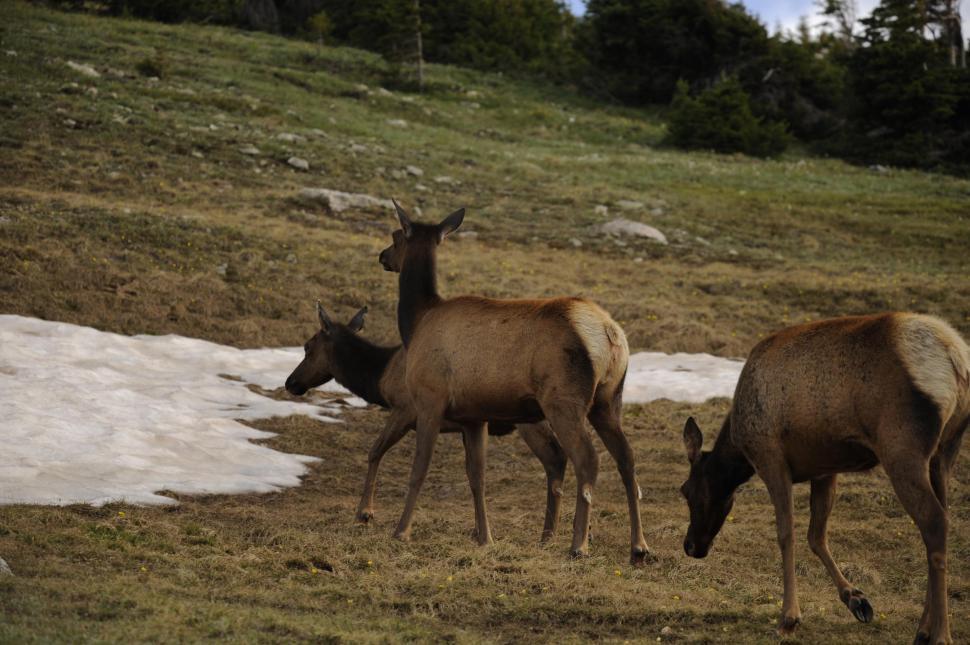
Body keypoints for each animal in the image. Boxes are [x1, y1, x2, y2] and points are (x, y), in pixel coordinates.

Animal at [284, 302, 568, 543]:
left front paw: (365, 513)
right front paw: (478, 531)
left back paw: (550, 535)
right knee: (557, 458)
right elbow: (472, 473)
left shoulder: (406, 410)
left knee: (555, 457)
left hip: (531, 420)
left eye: (308, 346)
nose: (290, 382)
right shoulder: (465, 424)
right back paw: (549, 535)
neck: (379, 377)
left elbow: (375, 451)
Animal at [378, 201, 651, 564]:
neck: (417, 321)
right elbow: (477, 476)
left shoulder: (429, 398)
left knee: (588, 459)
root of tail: (610, 335)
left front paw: (401, 531)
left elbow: (419, 467)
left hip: (564, 400)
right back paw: (639, 545)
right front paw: (485, 537)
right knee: (627, 459)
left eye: (396, 236)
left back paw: (578, 544)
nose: (382, 256)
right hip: (609, 400)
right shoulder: (473, 416)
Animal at [679, 313, 969, 644]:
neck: (739, 449)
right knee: (941, 520)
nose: (691, 545)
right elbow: (816, 536)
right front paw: (857, 600)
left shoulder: (769, 456)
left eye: (686, 490)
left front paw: (789, 618)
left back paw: (941, 634)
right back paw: (923, 629)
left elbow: (786, 533)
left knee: (934, 522)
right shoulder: (824, 469)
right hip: (944, 453)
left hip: (902, 449)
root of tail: (955, 357)